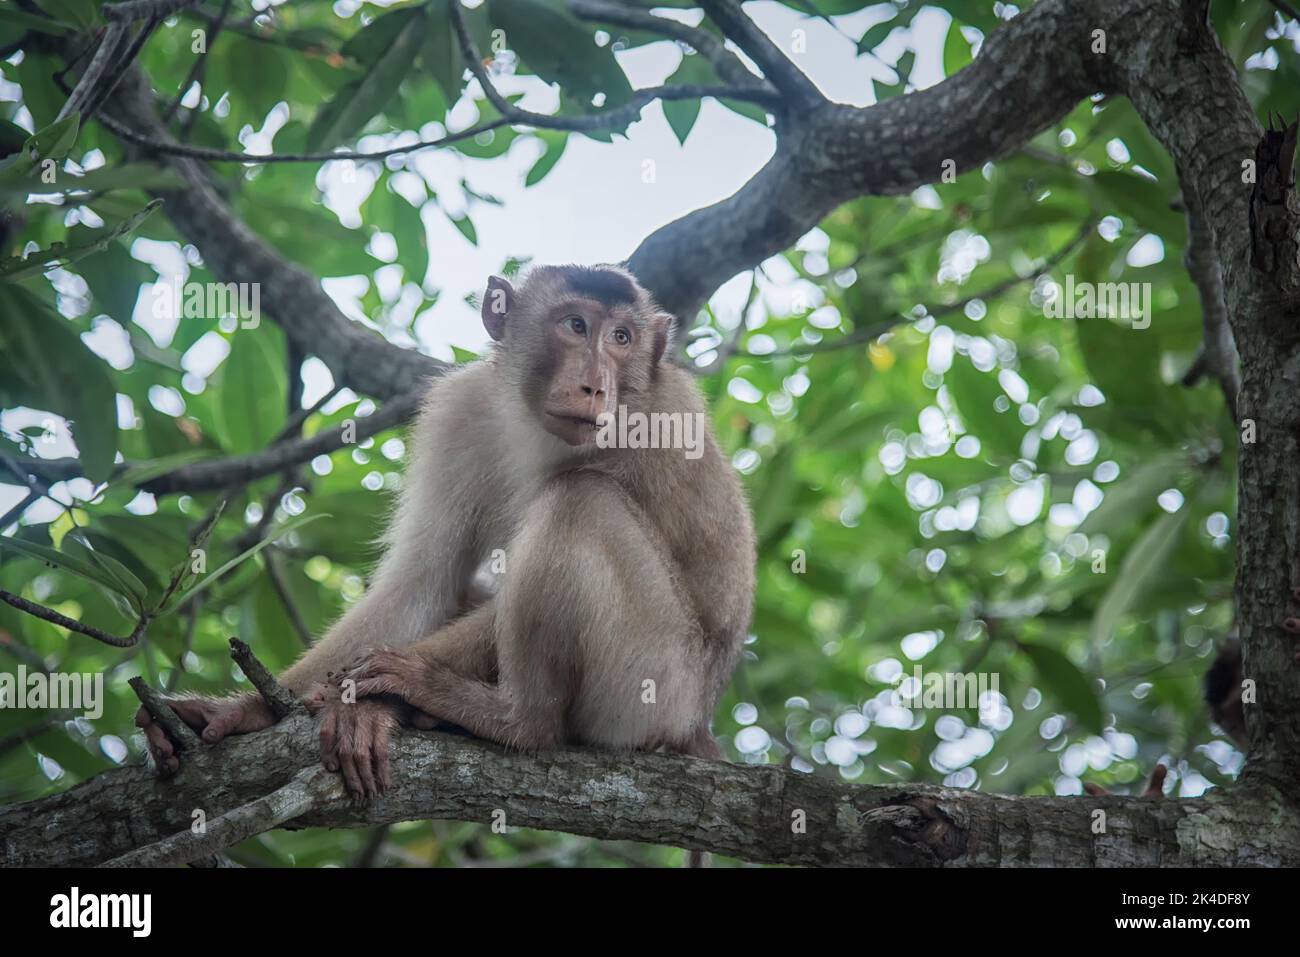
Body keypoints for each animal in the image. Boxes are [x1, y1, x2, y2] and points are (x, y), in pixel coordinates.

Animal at [137, 265, 756, 844]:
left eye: (622, 337)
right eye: (577, 325)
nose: (596, 388)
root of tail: (697, 719)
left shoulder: (661, 421)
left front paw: (374, 702)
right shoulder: (461, 408)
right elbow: (422, 579)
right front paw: (248, 708)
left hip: (658, 682)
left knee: (580, 500)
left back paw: (514, 719)